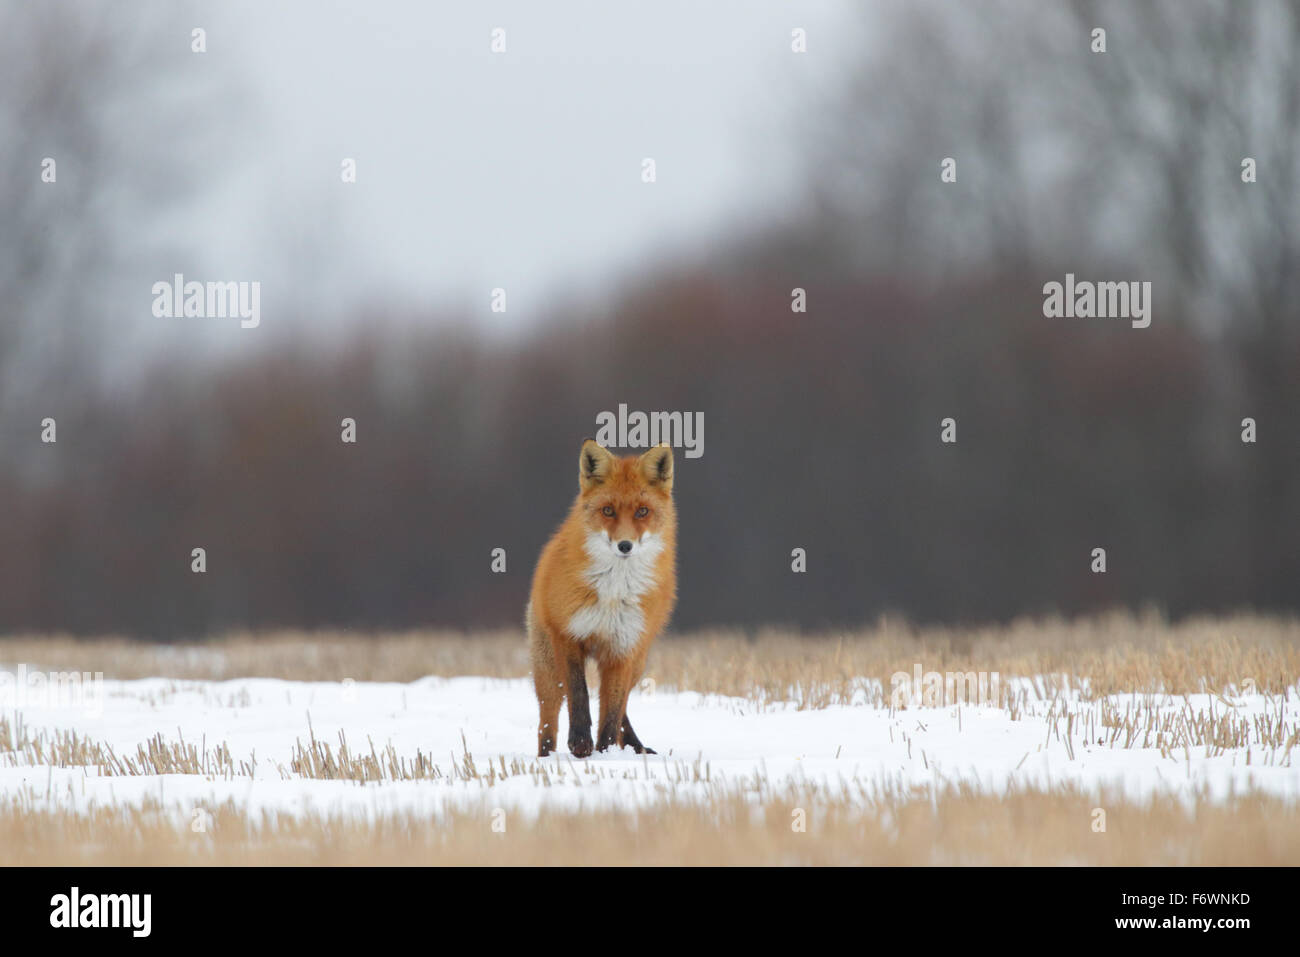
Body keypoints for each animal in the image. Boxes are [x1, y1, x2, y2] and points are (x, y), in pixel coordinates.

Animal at [527, 438, 676, 757]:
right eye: (608, 510)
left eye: (642, 511)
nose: (625, 545)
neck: (614, 591)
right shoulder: (568, 636)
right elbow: (580, 696)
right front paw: (580, 744)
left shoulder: (622, 649)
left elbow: (612, 713)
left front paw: (605, 753)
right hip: (547, 667)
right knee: (547, 721)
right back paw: (545, 756)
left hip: (638, 662)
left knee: (622, 709)